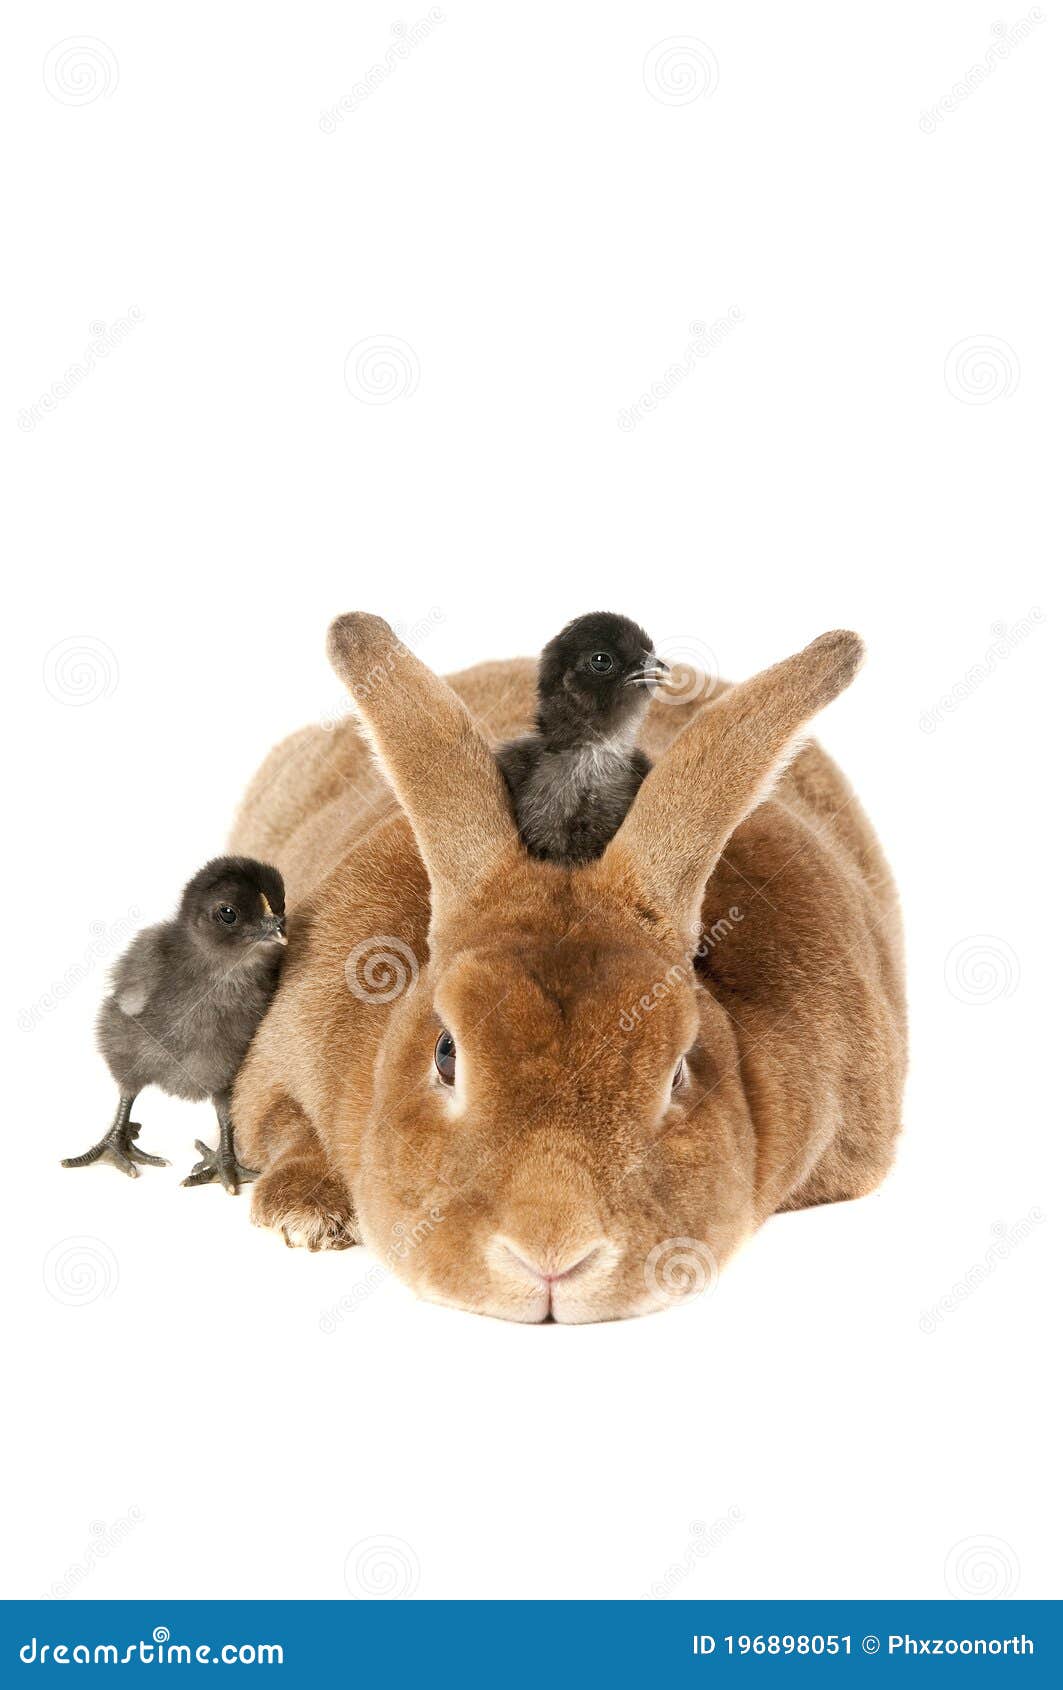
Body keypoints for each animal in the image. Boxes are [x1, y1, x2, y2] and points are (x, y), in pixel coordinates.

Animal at [226, 615, 906, 1319]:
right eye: (446, 1054)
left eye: (678, 1072)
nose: (551, 1251)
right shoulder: (275, 1061)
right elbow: (279, 1123)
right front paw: (306, 1215)